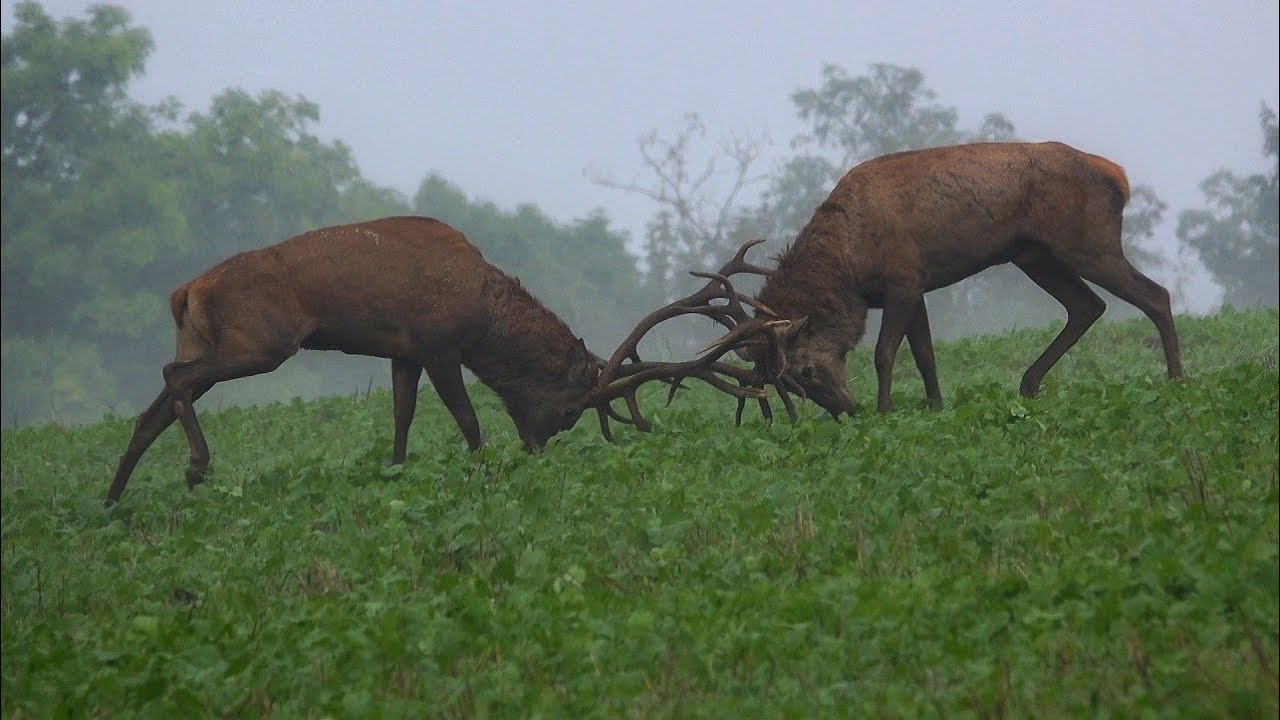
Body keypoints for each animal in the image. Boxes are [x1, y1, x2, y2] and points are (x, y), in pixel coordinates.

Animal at [104, 215, 767, 507]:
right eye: (569, 410)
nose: (536, 448)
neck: (483, 319)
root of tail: (185, 292)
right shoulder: (438, 346)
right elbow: (467, 420)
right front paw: (486, 471)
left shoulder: (404, 353)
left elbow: (402, 416)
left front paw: (396, 474)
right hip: (261, 343)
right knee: (173, 378)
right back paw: (195, 467)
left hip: (209, 341)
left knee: (152, 407)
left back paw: (113, 498)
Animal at [688, 142, 1185, 418]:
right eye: (789, 384)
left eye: (806, 371)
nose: (848, 410)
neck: (850, 266)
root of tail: (1119, 177)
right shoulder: (917, 287)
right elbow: (925, 352)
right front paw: (935, 406)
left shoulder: (903, 279)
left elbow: (886, 352)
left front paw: (887, 409)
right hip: (1035, 255)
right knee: (1087, 306)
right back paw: (1028, 384)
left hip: (1087, 242)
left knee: (1154, 295)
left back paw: (1177, 380)